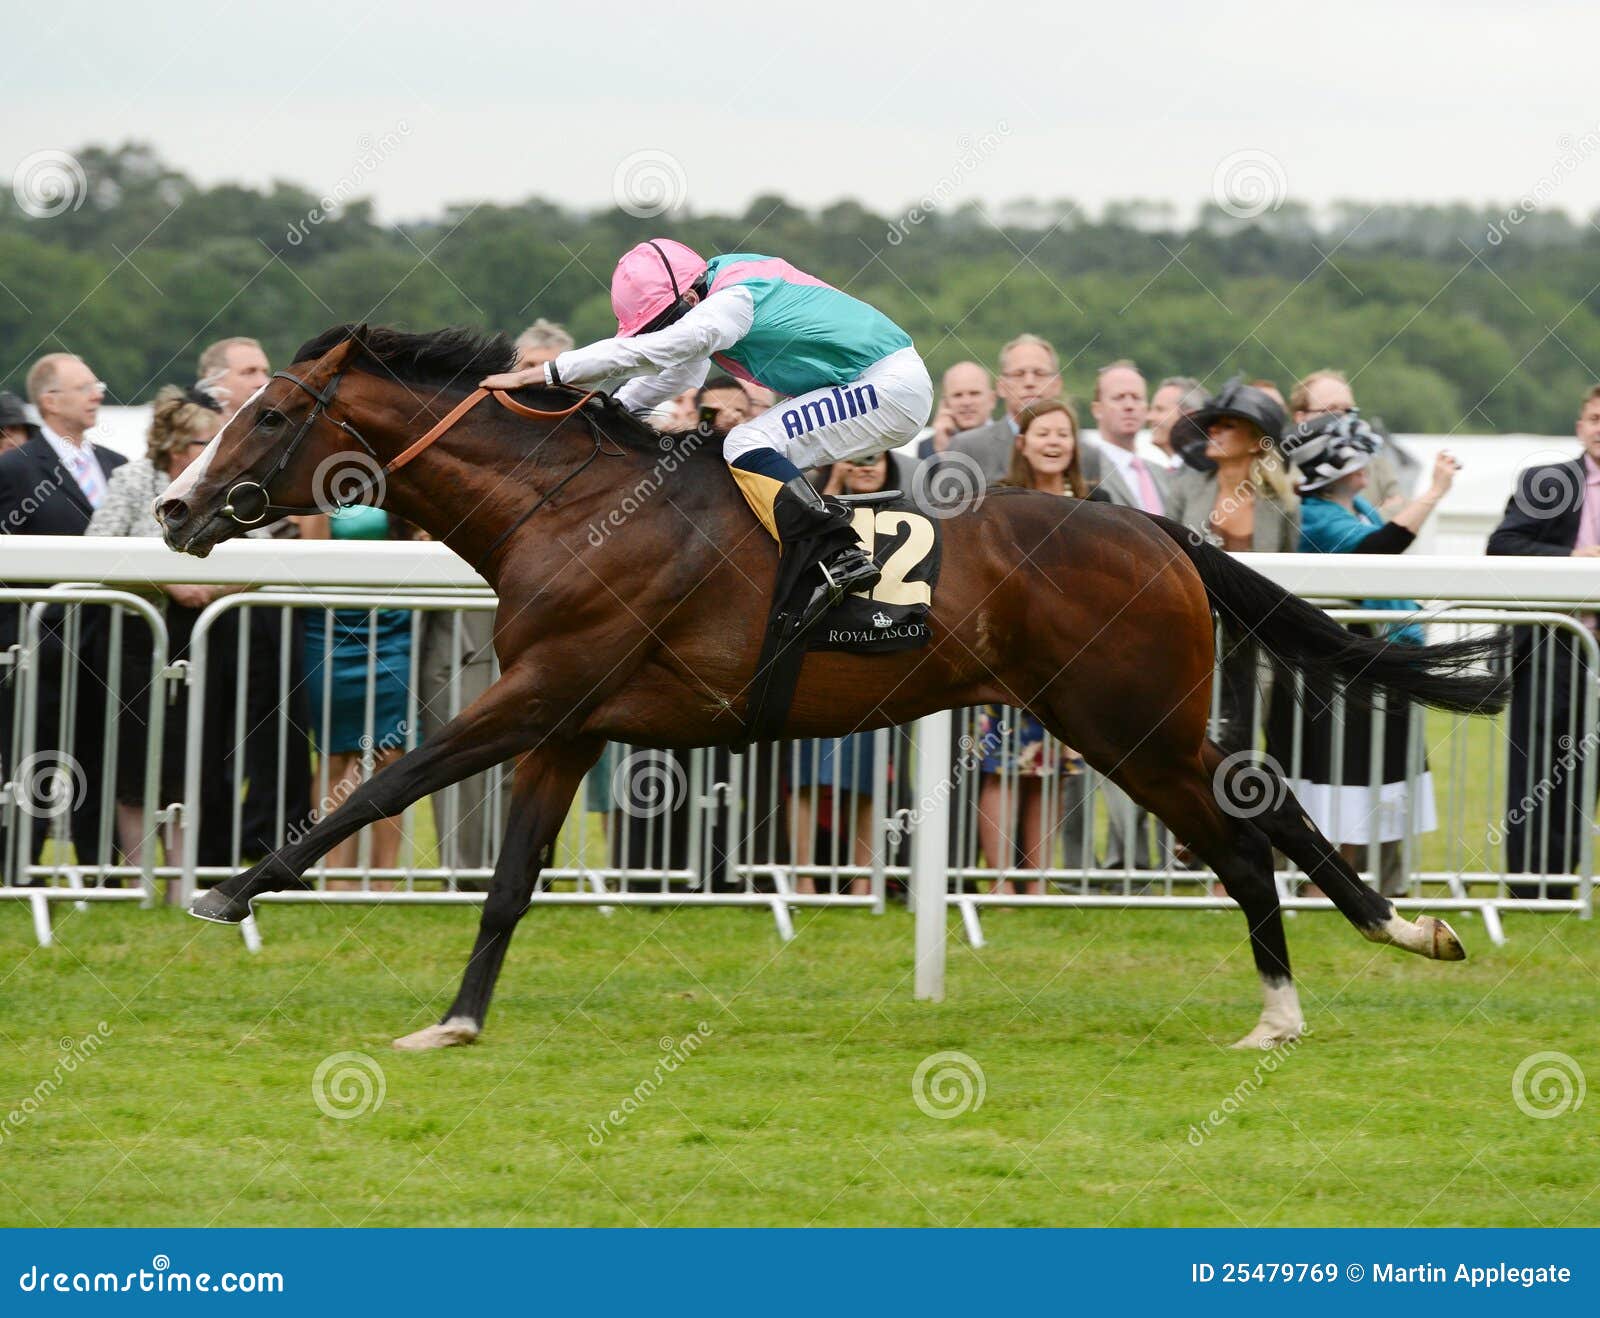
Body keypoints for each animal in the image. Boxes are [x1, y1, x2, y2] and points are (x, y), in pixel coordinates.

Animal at [155, 324, 1509, 1052]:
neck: (568, 509)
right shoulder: (569, 719)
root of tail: (1150, 528)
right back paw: (1375, 950)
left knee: (1247, 826)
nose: (171, 507)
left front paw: (227, 892)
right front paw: (455, 1020)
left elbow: (381, 790)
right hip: (1116, 721)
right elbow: (506, 883)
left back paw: (1321, 983)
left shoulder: (538, 693)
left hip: (1128, 720)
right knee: (1258, 818)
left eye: (270, 413)